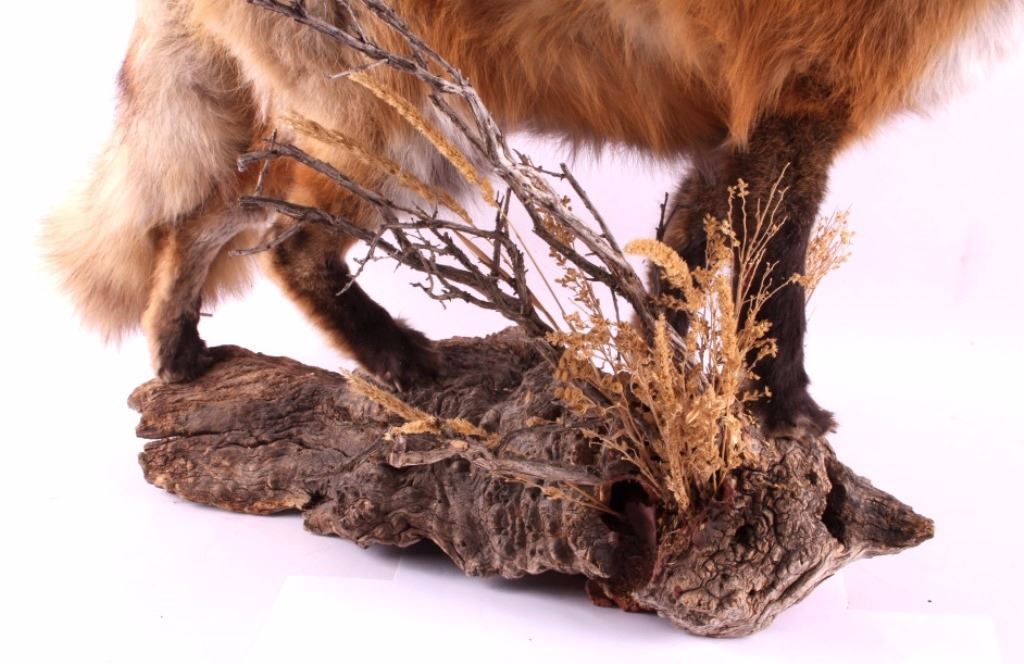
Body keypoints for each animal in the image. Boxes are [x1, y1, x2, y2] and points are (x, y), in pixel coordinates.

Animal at [42, 0, 1022, 437]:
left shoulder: (732, 144)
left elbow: (672, 279)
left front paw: (659, 401)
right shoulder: (793, 119)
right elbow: (774, 293)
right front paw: (782, 413)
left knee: (203, 221)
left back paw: (178, 355)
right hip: (404, 140)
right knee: (280, 241)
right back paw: (390, 355)